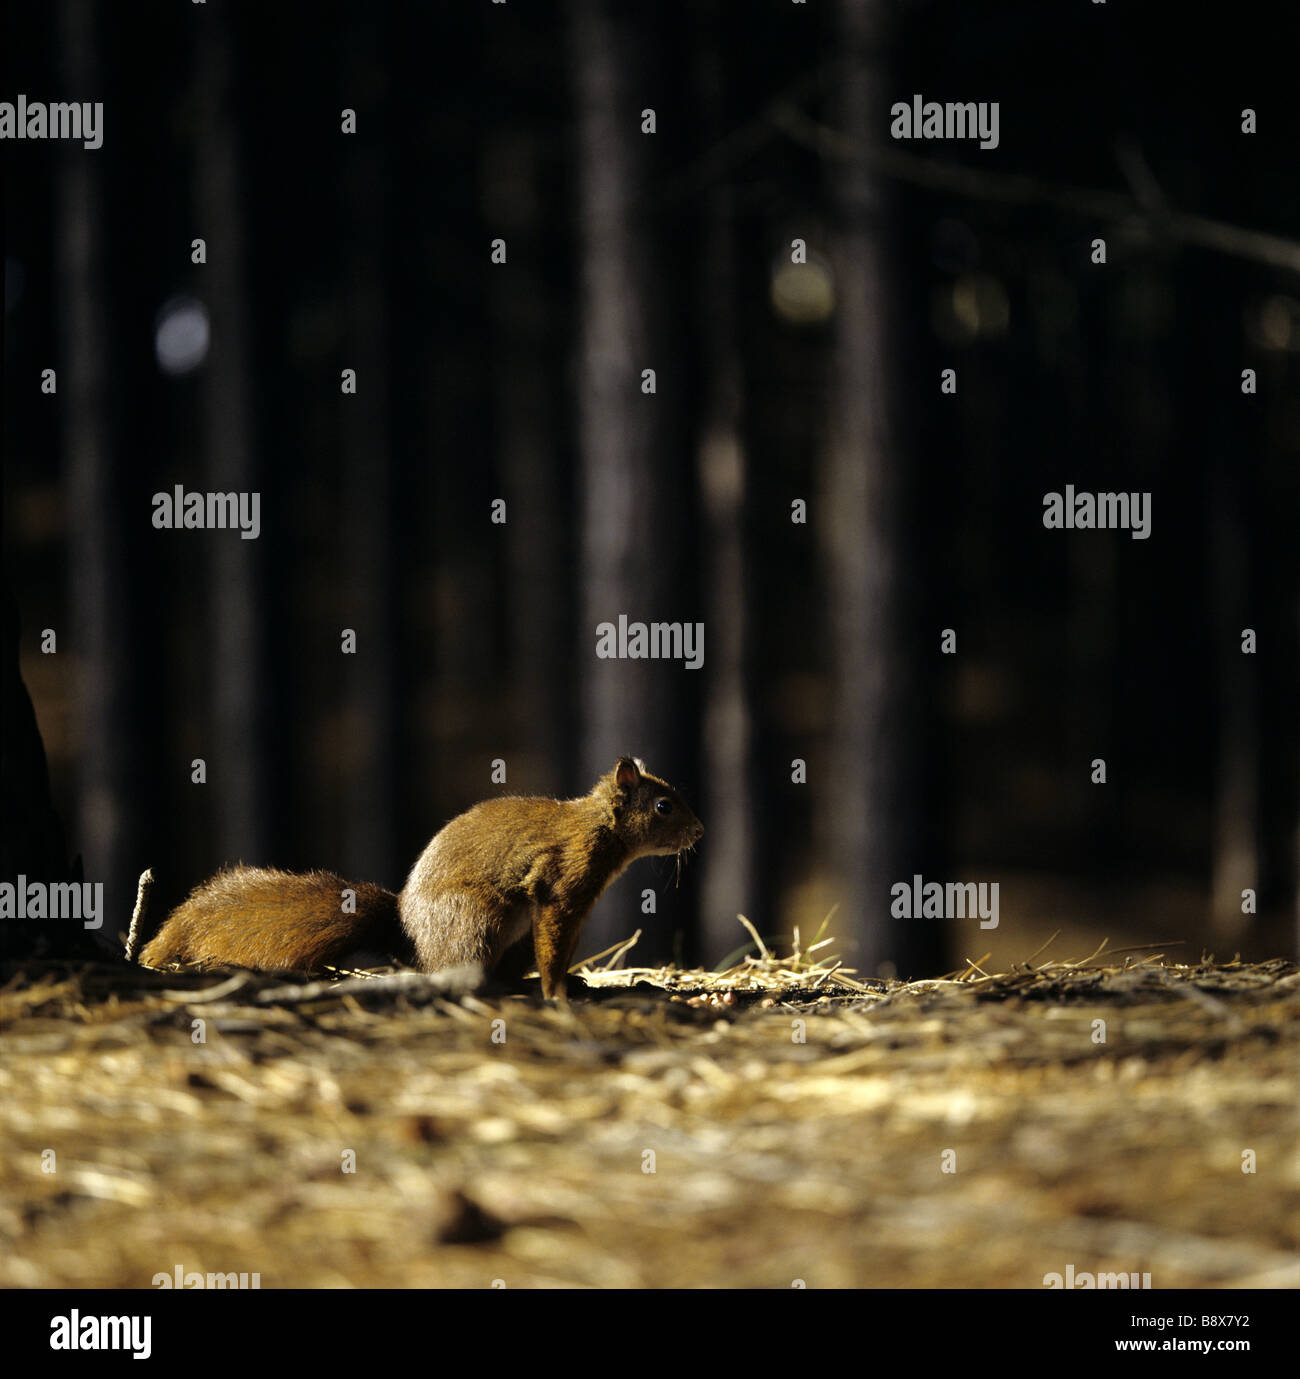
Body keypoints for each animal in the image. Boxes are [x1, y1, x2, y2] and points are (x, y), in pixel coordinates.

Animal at [137, 757, 702, 999]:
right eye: (663, 805)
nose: (699, 831)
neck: (597, 827)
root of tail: (411, 935)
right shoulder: (560, 883)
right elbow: (554, 940)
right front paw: (555, 990)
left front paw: (567, 980)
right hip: (477, 916)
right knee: (464, 972)